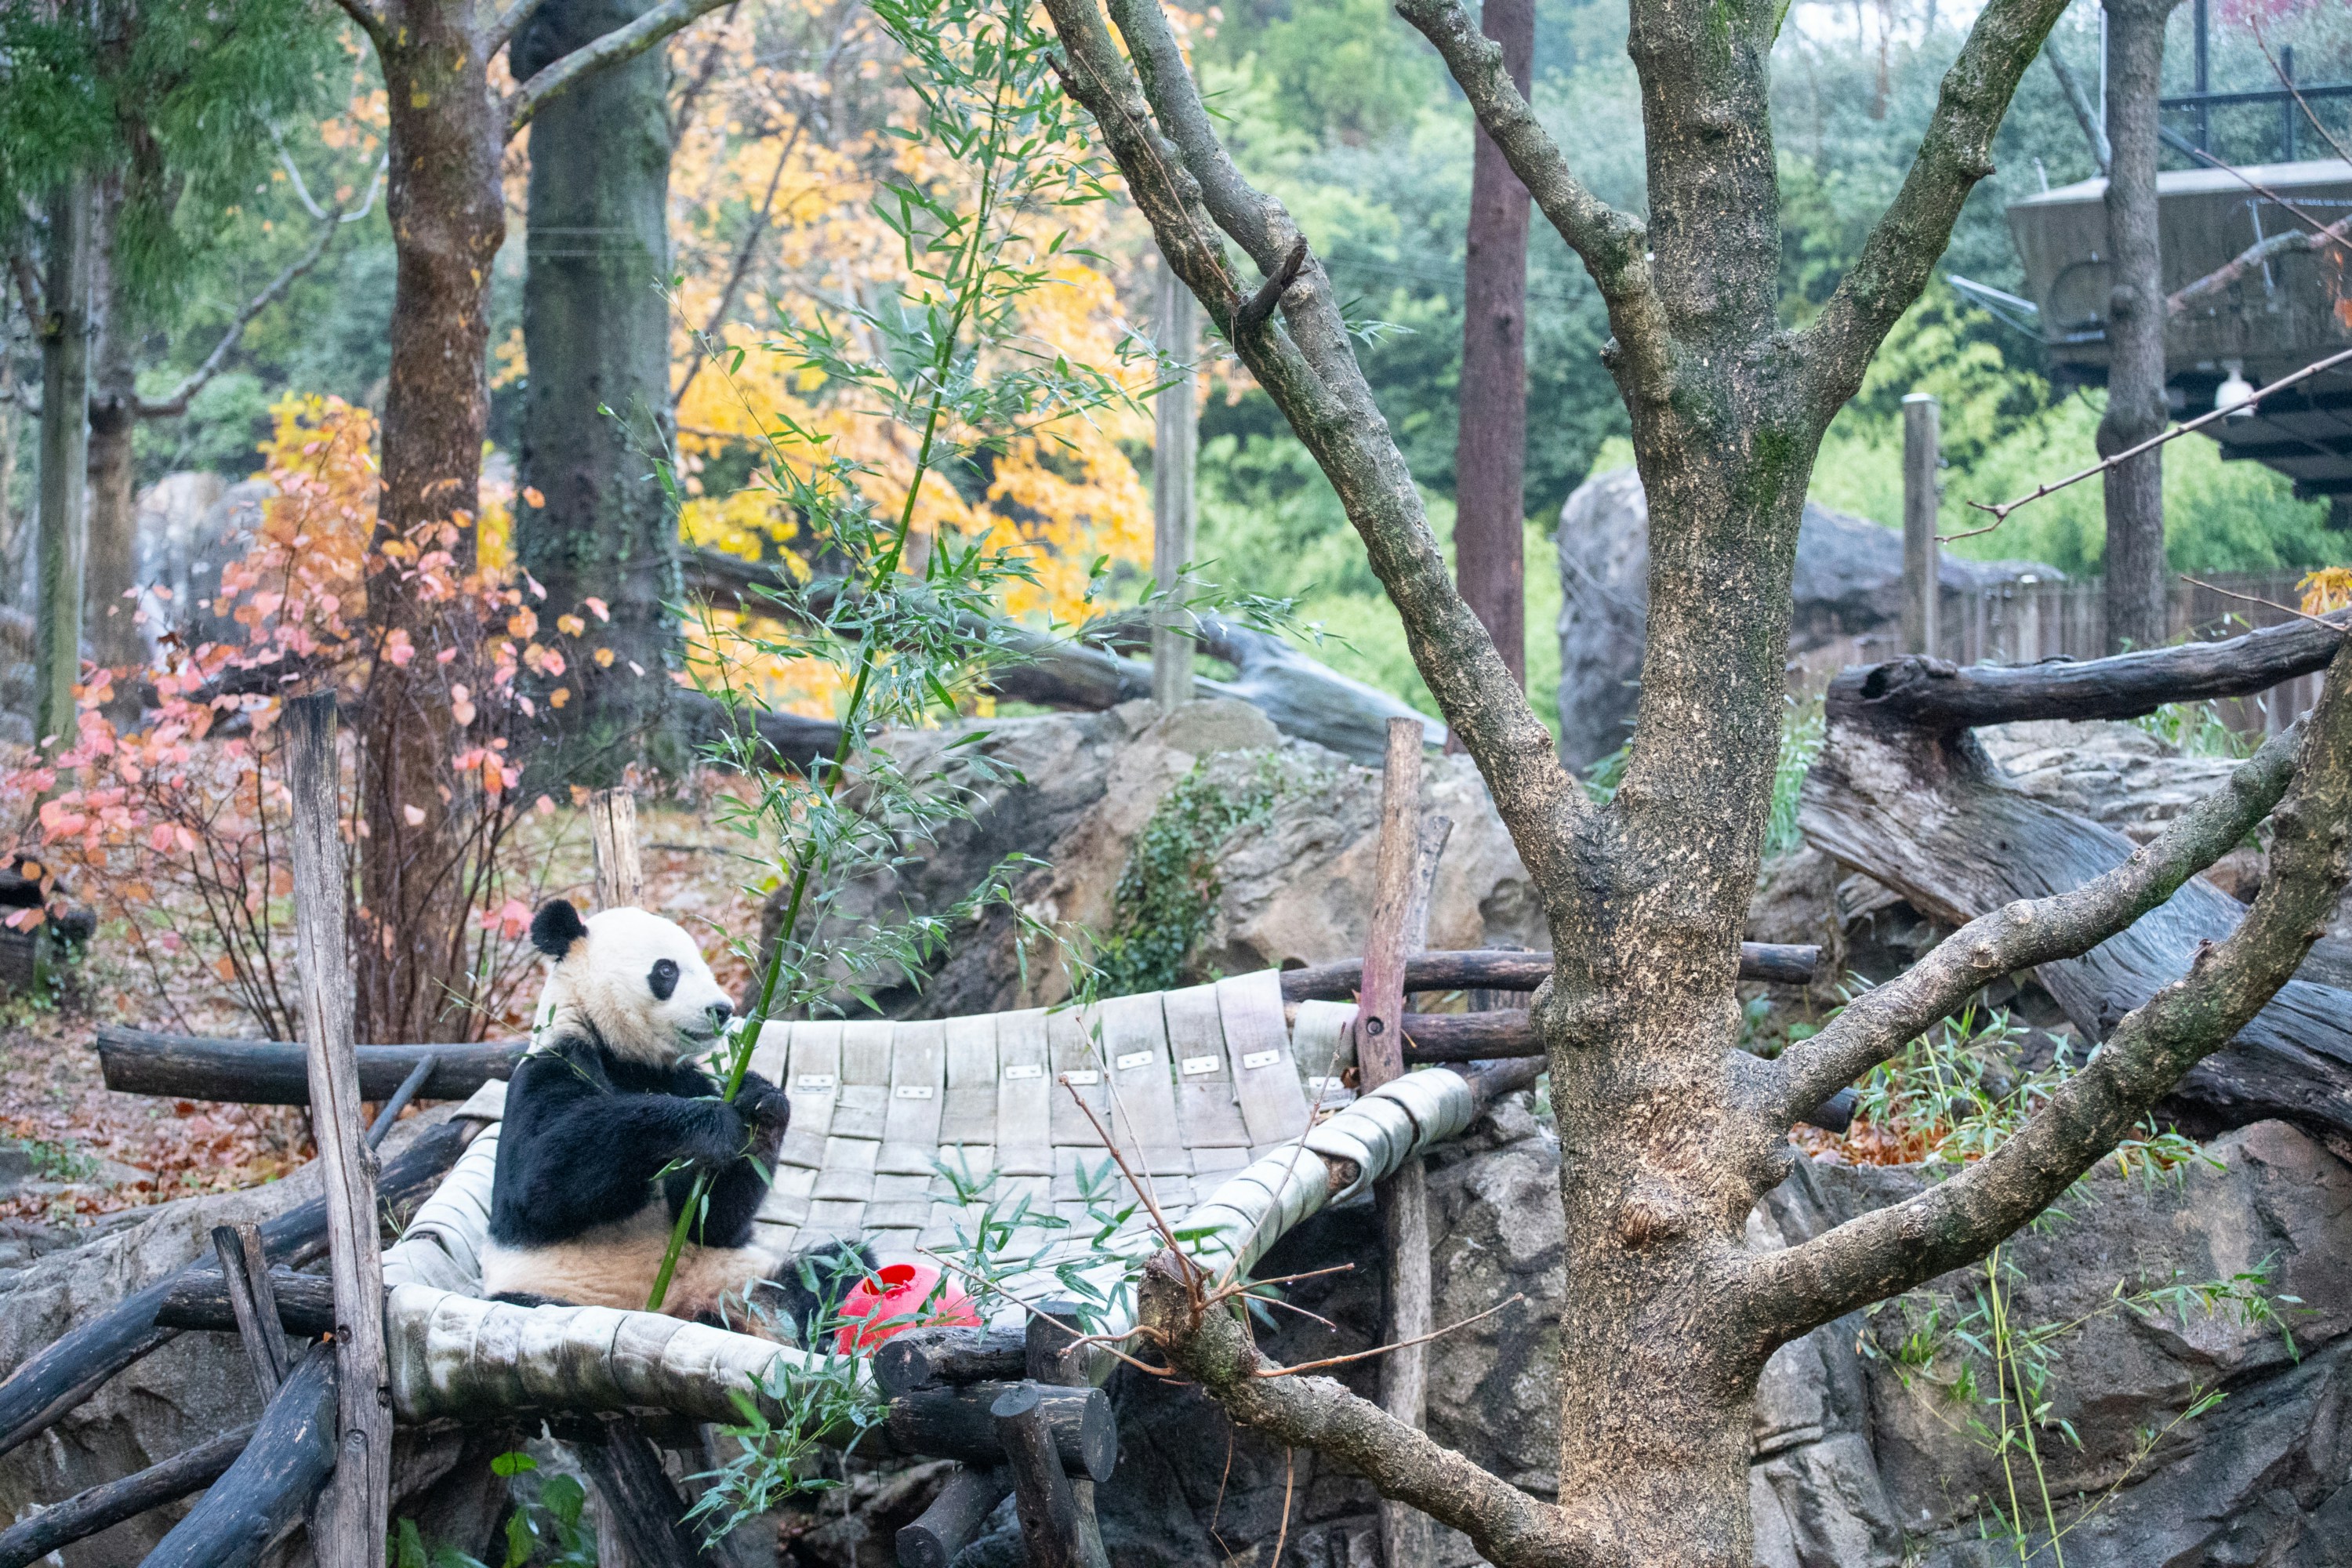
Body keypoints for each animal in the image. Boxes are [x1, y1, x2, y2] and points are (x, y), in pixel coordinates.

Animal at [482, 898, 859, 1333]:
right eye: (666, 970)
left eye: (705, 966)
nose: (722, 1009)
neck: (627, 1057)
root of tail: (678, 1310)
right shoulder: (554, 1064)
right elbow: (542, 1177)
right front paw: (711, 1124)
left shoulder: (683, 1077)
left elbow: (713, 1221)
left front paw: (760, 1103)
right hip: (552, 1290)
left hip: (741, 1277)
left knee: (835, 1273)